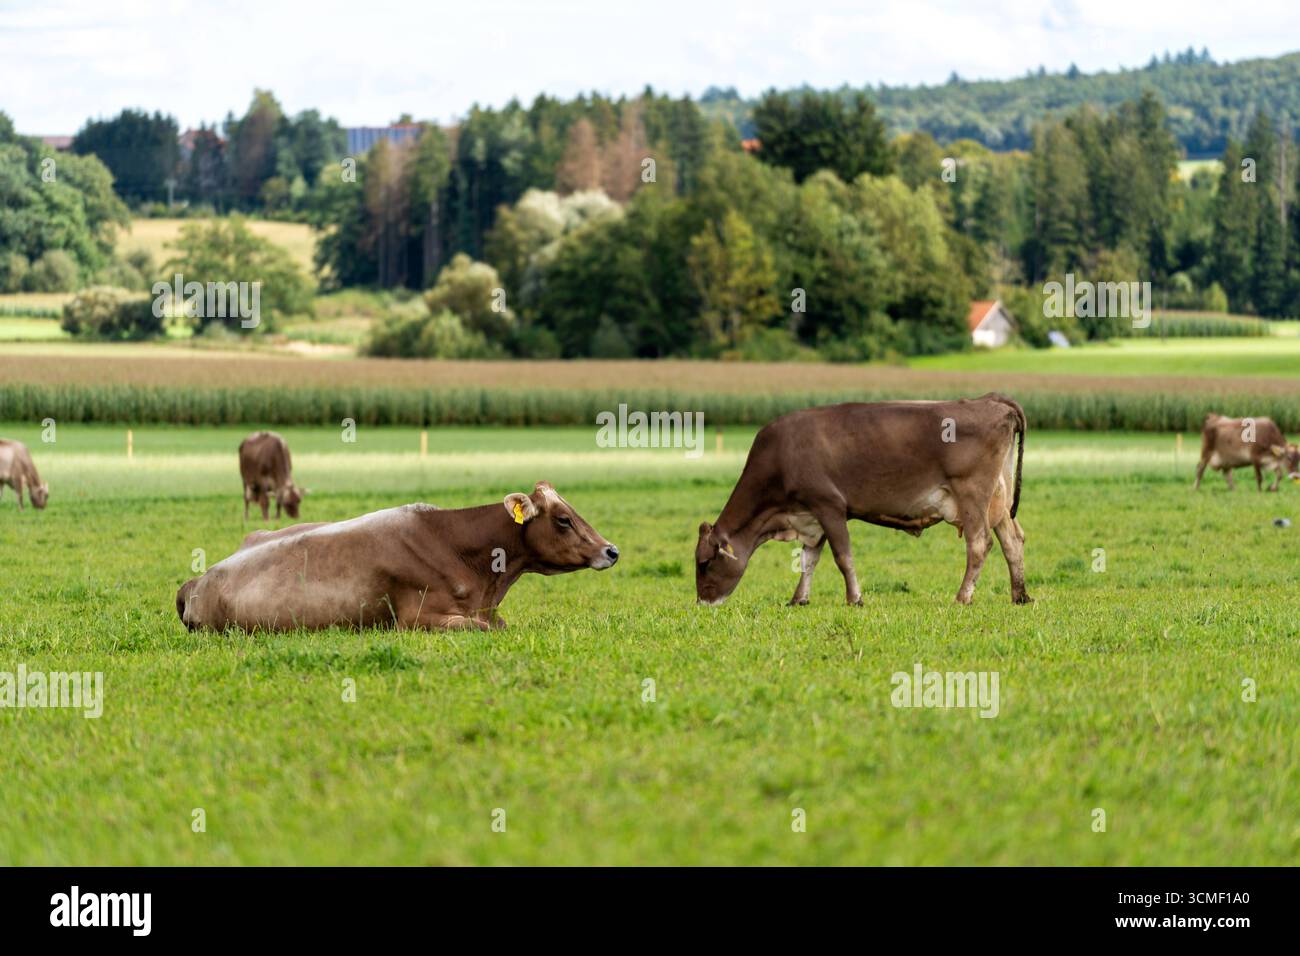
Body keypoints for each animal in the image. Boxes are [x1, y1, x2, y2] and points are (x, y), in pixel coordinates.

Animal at [695, 394, 1029, 607]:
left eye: (705, 562)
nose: (702, 602)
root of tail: (989, 399)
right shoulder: (810, 515)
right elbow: (807, 560)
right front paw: (798, 599)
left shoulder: (829, 506)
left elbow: (842, 557)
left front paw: (855, 598)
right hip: (998, 500)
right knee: (1012, 541)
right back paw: (1020, 595)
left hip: (972, 493)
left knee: (979, 543)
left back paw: (962, 597)